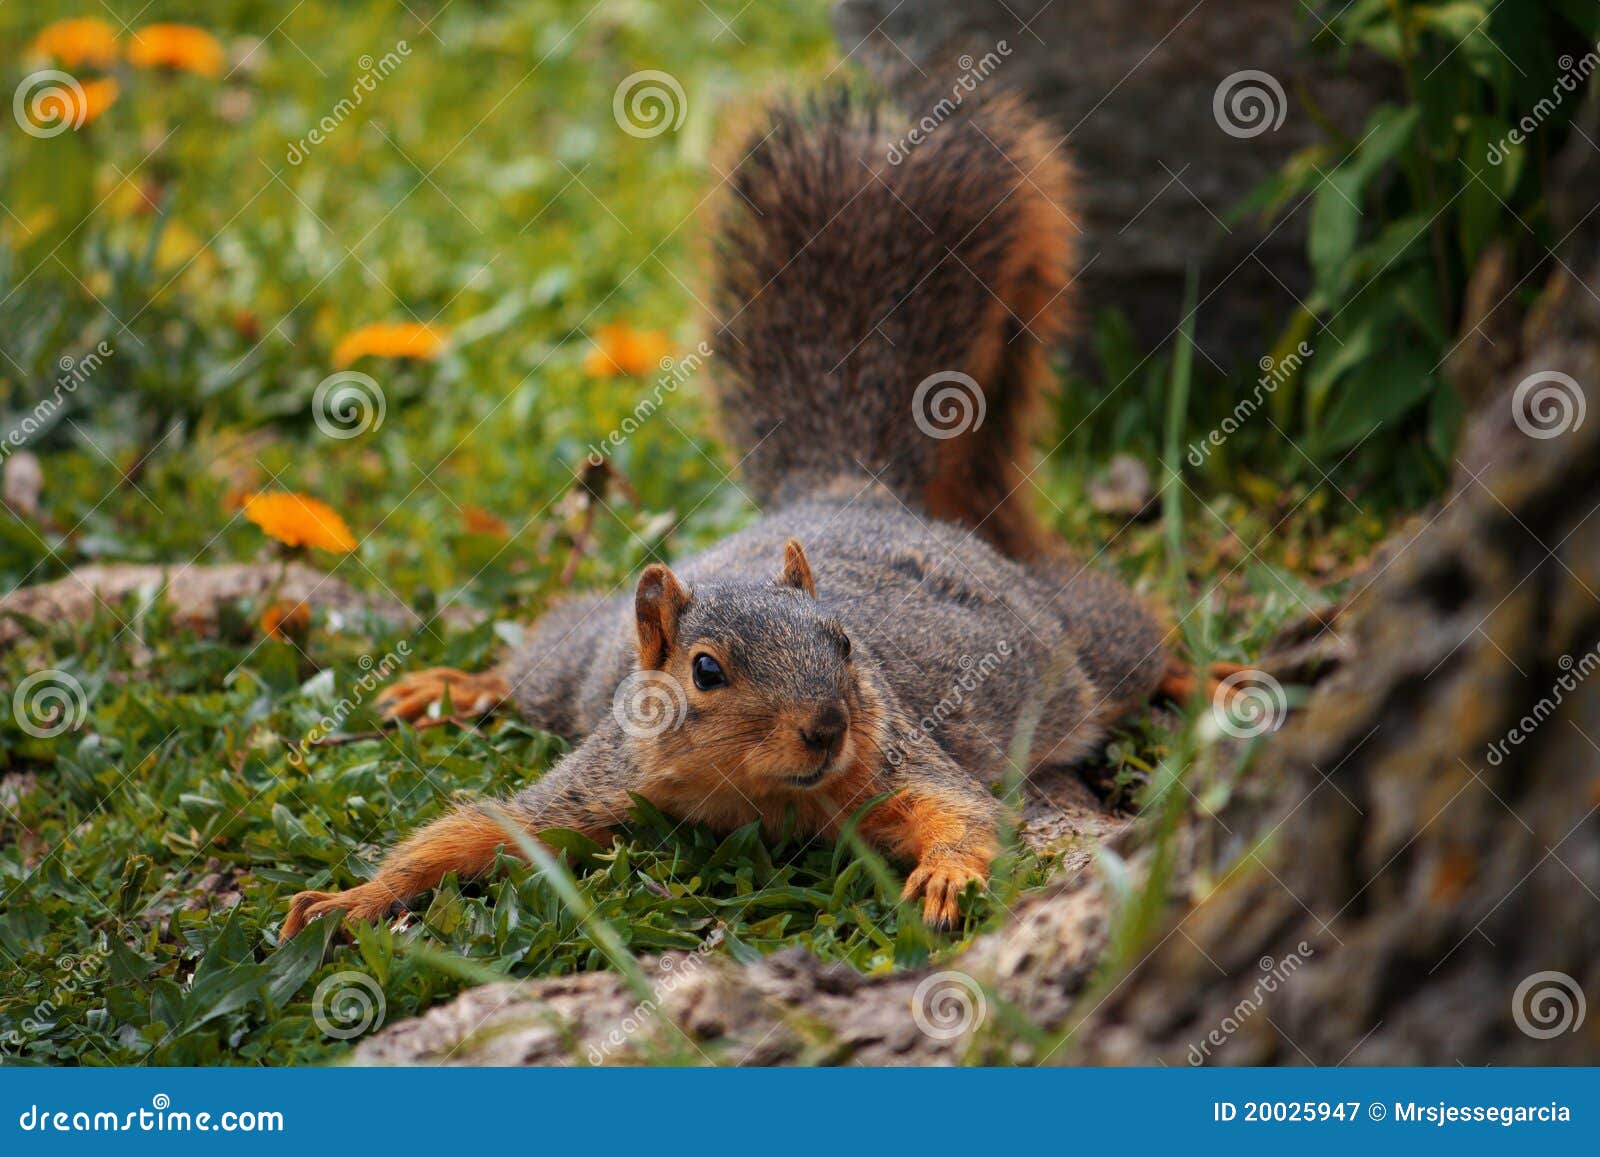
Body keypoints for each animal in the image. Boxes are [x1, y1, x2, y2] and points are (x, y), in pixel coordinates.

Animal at [281, 90, 1180, 938]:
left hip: (1076, 637)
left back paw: (1197, 674)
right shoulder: (606, 775)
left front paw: (950, 874)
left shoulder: (900, 758)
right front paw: (354, 897)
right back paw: (455, 685)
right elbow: (484, 828)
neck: (754, 793)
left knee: (1134, 636)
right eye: (705, 670)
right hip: (584, 669)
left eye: (846, 642)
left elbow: (964, 810)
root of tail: (843, 490)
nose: (827, 725)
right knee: (539, 664)